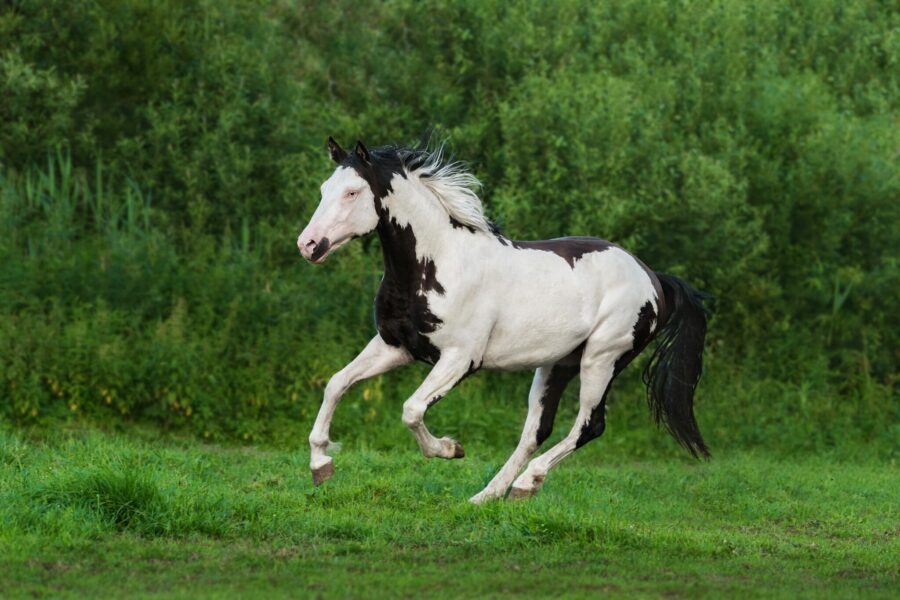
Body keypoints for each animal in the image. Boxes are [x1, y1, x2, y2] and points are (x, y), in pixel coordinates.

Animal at [297, 137, 710, 503]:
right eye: (323, 189)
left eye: (352, 192)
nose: (308, 245)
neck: (438, 263)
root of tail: (653, 278)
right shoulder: (395, 346)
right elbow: (336, 384)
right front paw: (321, 466)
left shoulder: (460, 358)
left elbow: (411, 410)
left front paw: (451, 449)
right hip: (558, 364)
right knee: (535, 432)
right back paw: (490, 495)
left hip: (603, 359)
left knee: (589, 425)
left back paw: (527, 482)